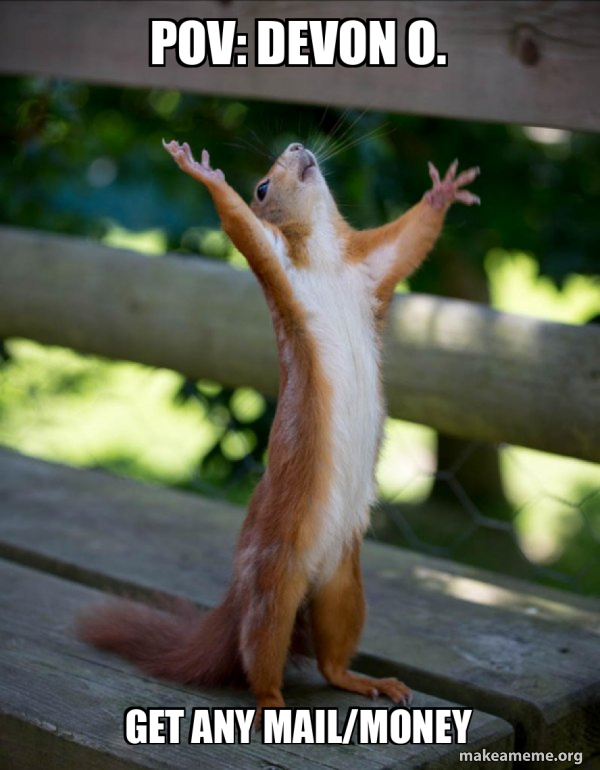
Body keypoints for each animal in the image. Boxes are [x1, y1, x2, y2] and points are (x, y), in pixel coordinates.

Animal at [78, 138, 479, 727]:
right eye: (262, 187)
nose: (296, 146)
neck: (326, 257)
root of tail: (239, 595)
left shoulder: (371, 267)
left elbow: (410, 240)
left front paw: (443, 192)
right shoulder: (277, 265)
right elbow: (240, 225)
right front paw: (204, 173)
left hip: (344, 587)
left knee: (331, 660)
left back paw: (367, 680)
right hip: (274, 584)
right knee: (259, 654)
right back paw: (271, 702)